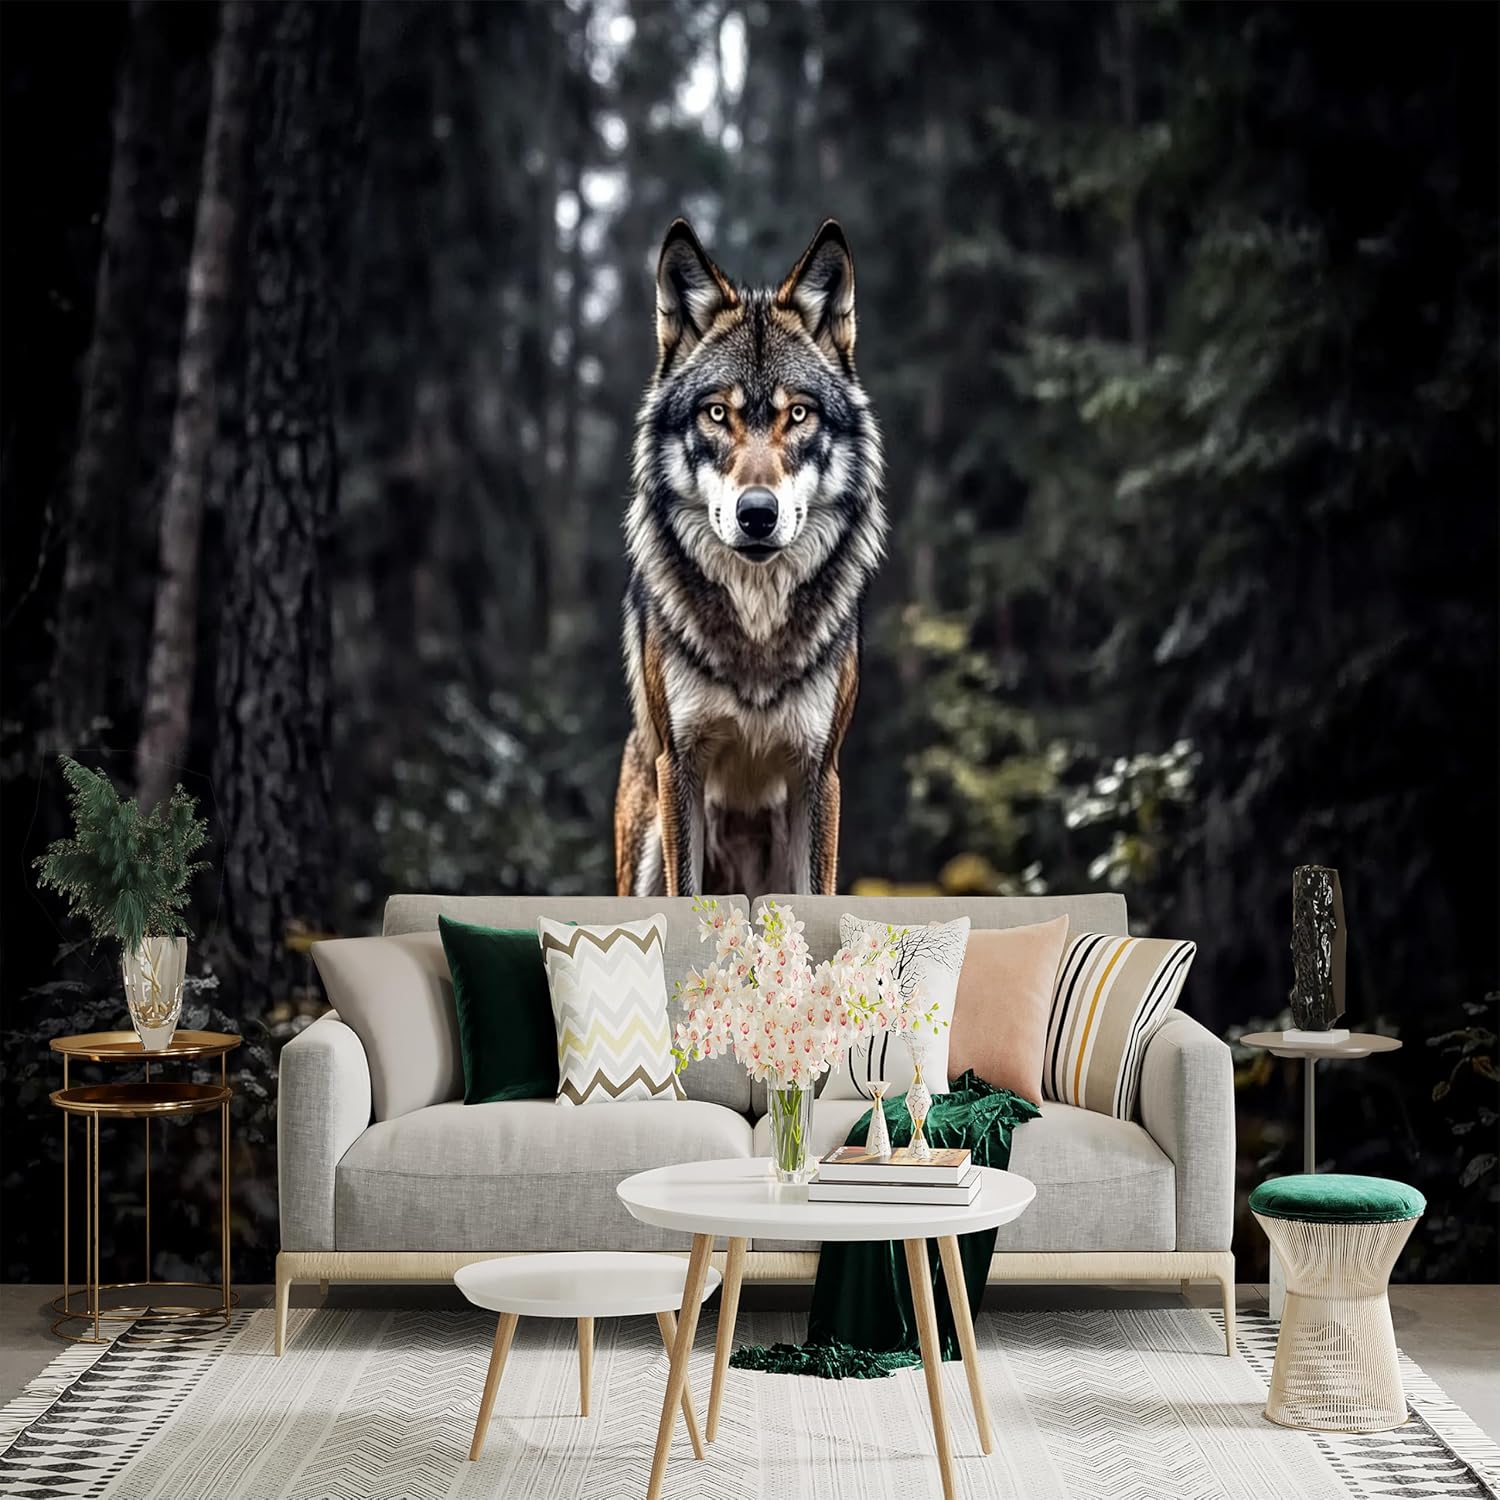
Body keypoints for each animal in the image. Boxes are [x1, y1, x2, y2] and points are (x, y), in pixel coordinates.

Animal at [614, 218, 887, 898]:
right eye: (717, 412)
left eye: (798, 413)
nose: (757, 513)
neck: (757, 624)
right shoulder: (681, 765)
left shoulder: (818, 772)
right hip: (647, 847)